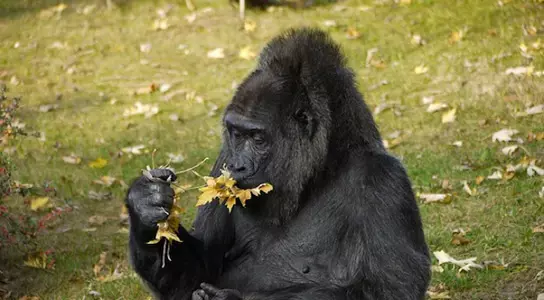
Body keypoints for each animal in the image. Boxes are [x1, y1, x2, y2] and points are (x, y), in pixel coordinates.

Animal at [125, 28, 432, 300]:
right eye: (236, 134)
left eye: (258, 138)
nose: (237, 167)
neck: (320, 171)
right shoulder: (225, 156)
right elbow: (196, 274)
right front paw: (145, 206)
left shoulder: (383, 180)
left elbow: (388, 288)